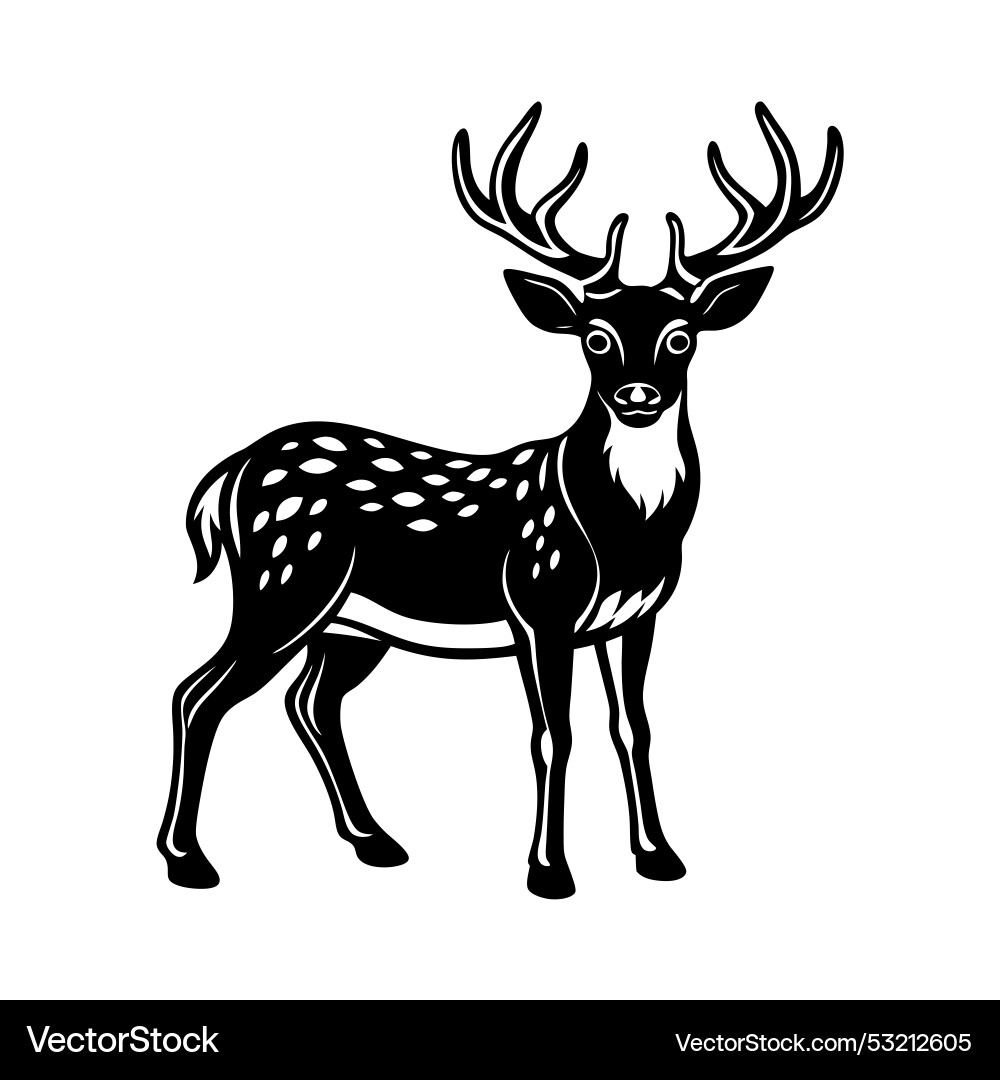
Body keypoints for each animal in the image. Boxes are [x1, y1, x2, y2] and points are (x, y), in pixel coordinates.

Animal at [158, 102, 843, 899]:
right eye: (595, 338)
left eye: (682, 337)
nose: (637, 397)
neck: (627, 535)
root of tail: (230, 473)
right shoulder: (538, 603)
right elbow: (554, 733)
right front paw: (549, 871)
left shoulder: (638, 616)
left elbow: (633, 726)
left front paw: (658, 856)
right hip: (284, 582)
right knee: (197, 693)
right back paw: (188, 858)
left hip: (350, 625)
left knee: (310, 704)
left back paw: (375, 841)